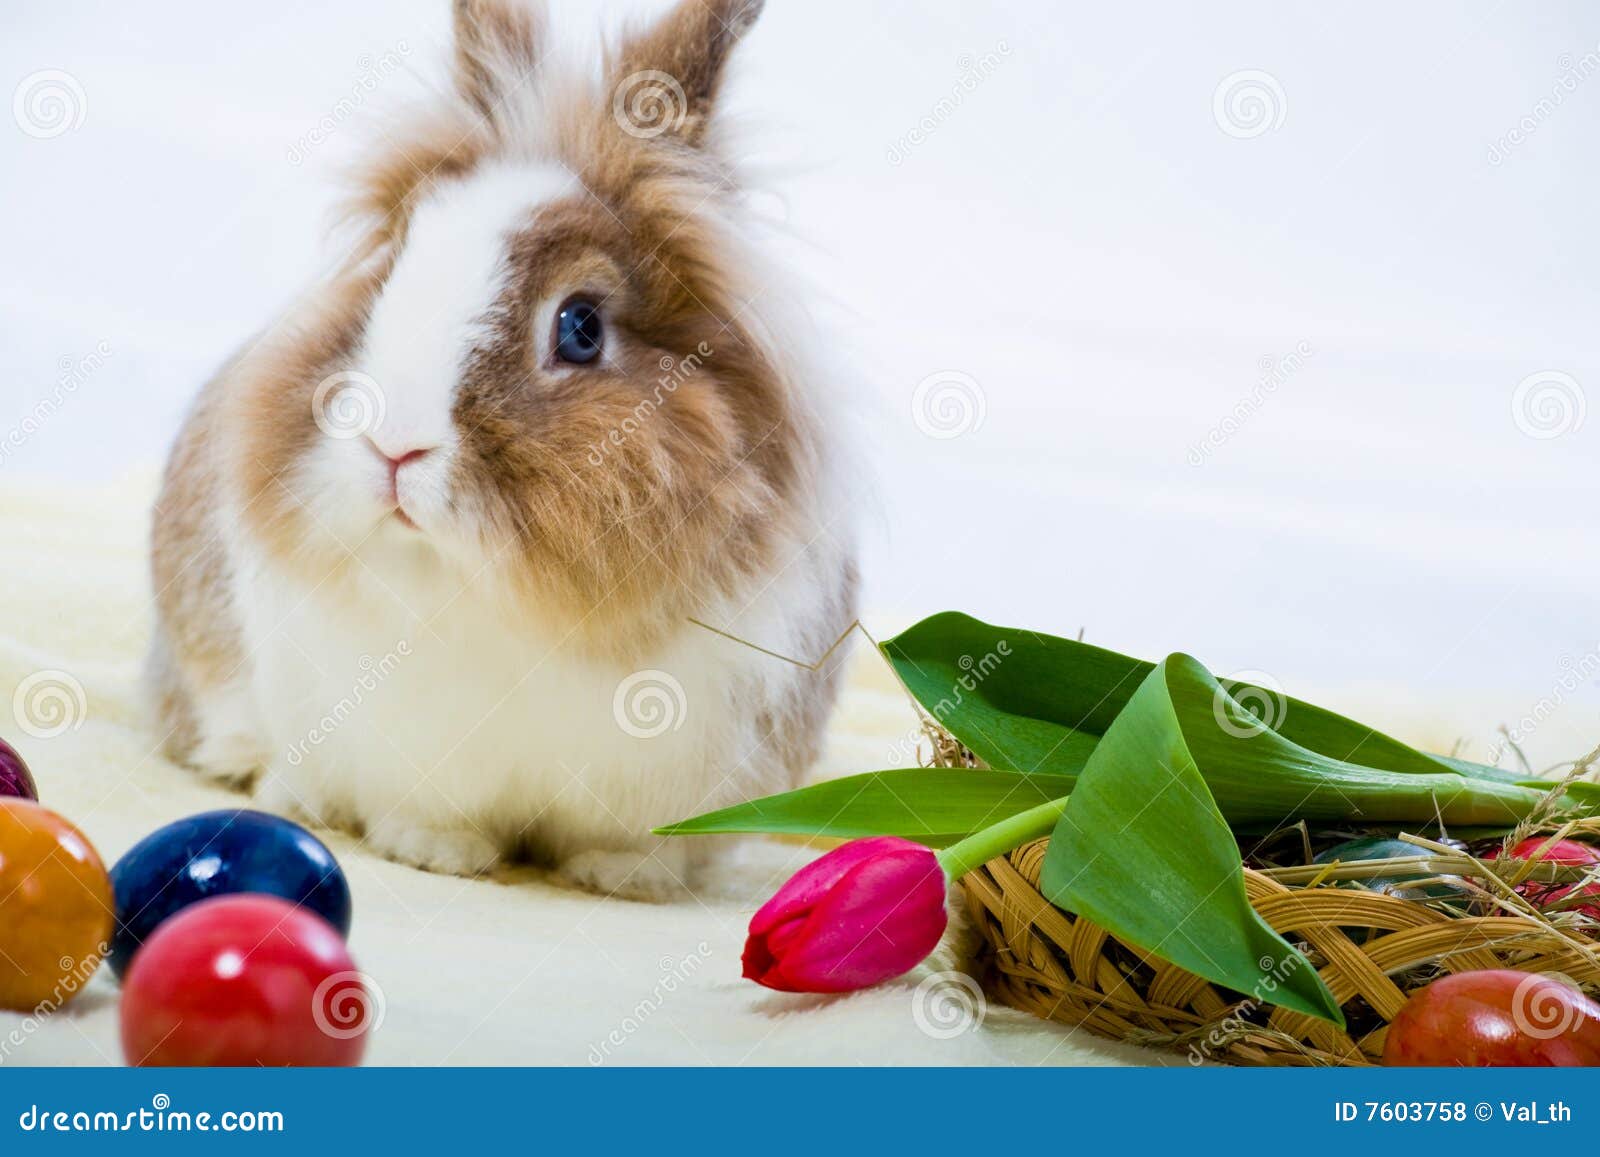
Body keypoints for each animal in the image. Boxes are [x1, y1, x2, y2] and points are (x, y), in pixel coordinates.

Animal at [146, 0, 858, 900]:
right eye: (391, 269)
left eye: (581, 326)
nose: (394, 446)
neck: (504, 602)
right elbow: (419, 811)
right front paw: (435, 851)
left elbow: (638, 846)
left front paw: (621, 880)